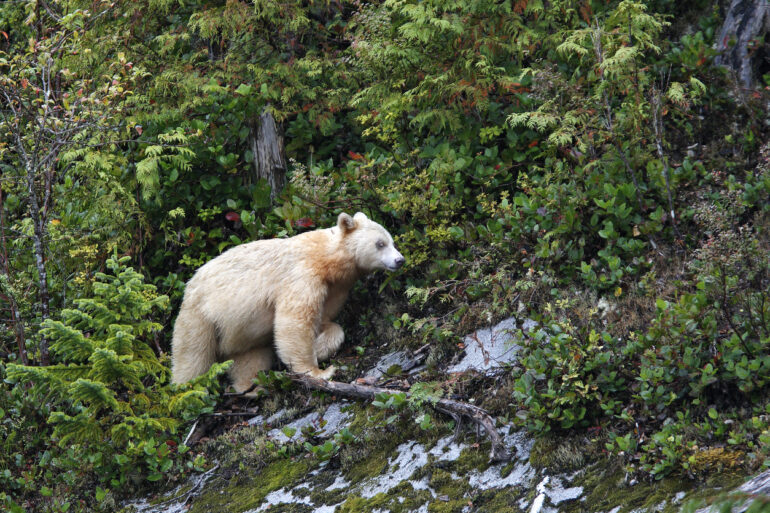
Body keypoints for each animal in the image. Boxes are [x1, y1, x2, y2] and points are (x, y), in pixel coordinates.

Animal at [171, 212, 404, 392]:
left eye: (392, 241)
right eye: (380, 244)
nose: (400, 260)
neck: (325, 258)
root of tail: (189, 286)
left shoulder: (335, 288)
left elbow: (326, 321)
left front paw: (321, 346)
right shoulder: (301, 276)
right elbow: (295, 323)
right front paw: (319, 371)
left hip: (240, 335)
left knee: (250, 358)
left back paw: (249, 387)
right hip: (201, 316)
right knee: (192, 355)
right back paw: (188, 389)